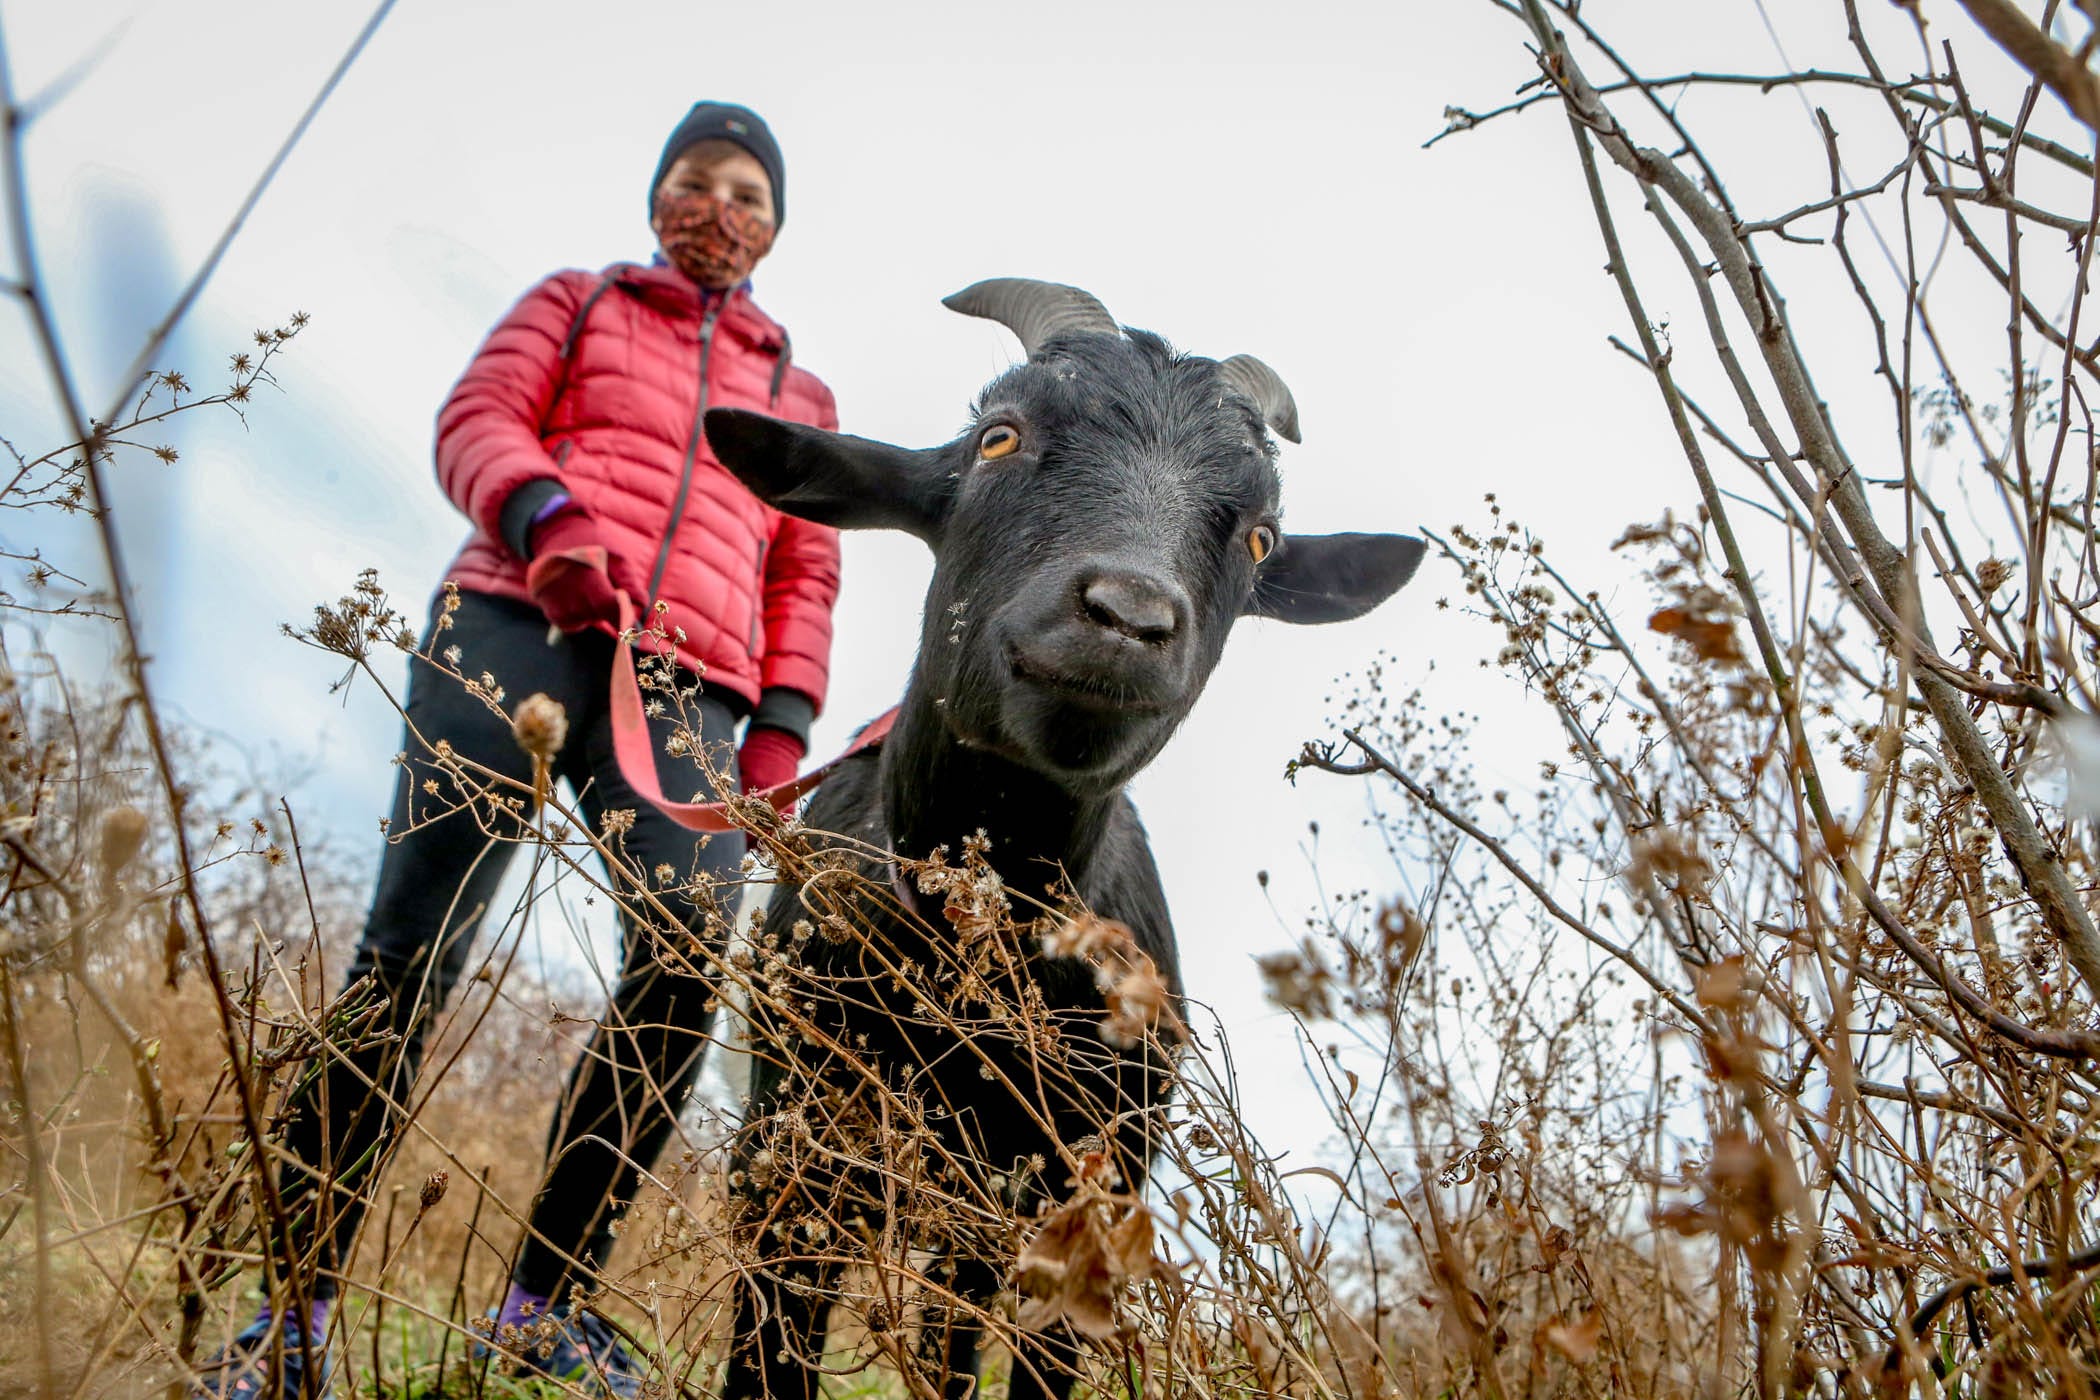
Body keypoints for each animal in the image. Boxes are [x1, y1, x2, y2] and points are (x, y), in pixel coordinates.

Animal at [701, 279, 1423, 1400]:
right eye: (998, 436)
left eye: (1261, 537)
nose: (1127, 615)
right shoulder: (789, 1162)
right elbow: (767, 1359)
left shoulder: (1090, 1204)